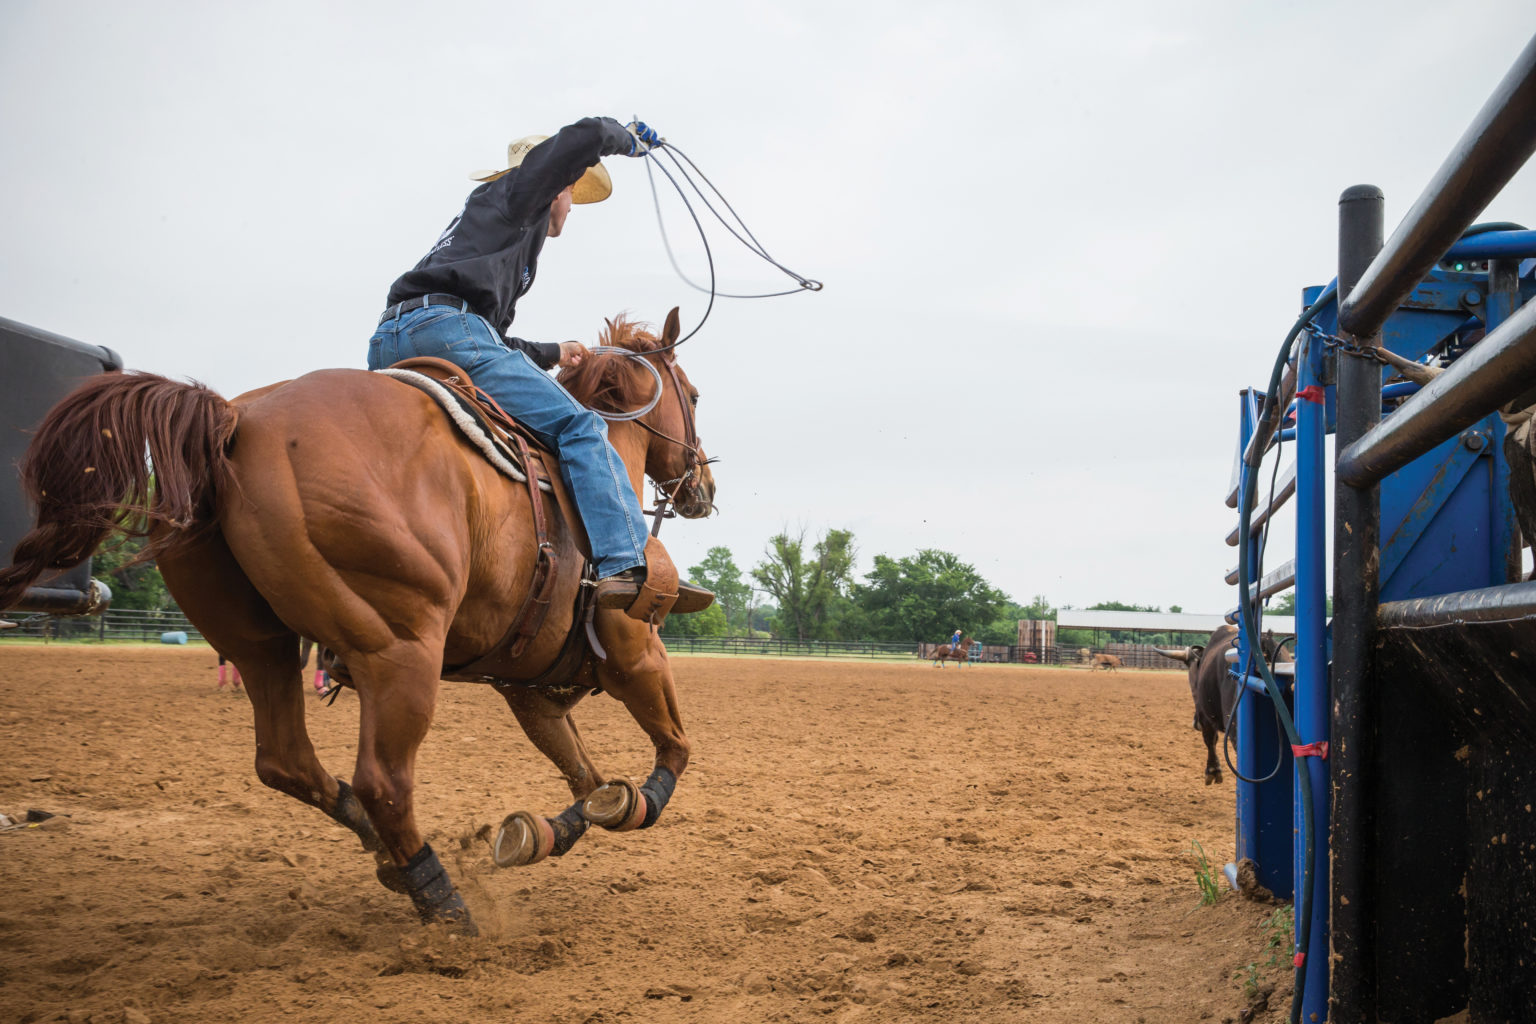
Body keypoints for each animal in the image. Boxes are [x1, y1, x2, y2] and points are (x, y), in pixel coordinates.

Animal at [0, 309, 714, 935]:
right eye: (694, 394)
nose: (703, 487)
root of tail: (237, 418)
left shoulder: (528, 690)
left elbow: (586, 778)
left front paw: (543, 834)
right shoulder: (637, 653)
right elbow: (673, 750)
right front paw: (632, 802)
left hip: (259, 645)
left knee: (287, 762)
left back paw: (387, 855)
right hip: (401, 650)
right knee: (384, 781)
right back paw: (445, 907)